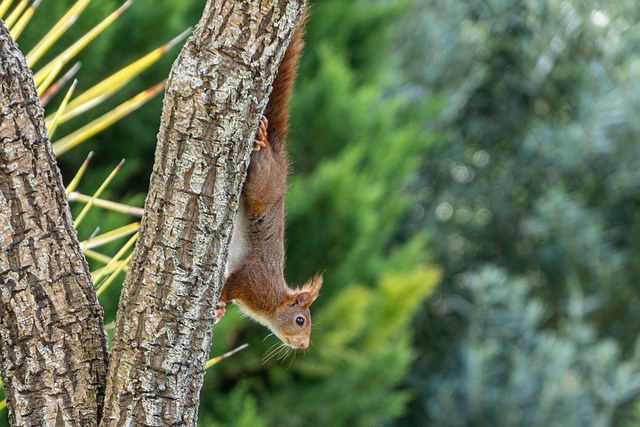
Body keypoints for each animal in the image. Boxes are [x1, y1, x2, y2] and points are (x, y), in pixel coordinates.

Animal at [215, 13, 322, 350]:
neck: (274, 299)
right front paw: (220, 302)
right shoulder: (251, 281)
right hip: (263, 183)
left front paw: (219, 310)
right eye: (300, 320)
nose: (303, 346)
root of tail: (279, 154)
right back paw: (260, 141)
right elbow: (231, 285)